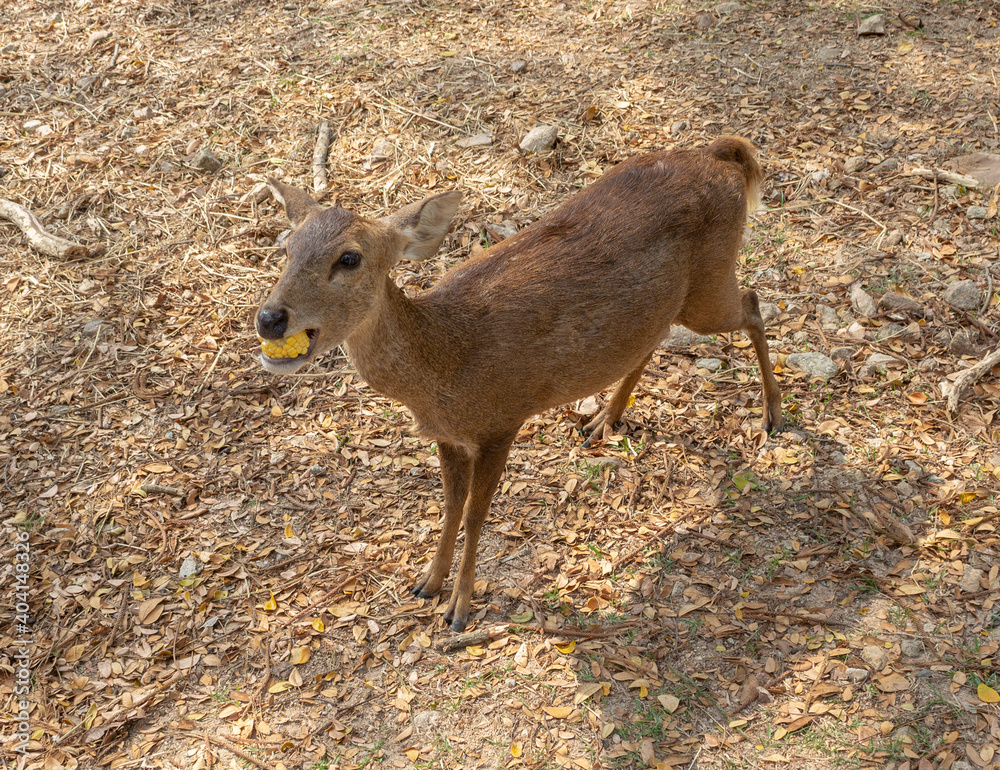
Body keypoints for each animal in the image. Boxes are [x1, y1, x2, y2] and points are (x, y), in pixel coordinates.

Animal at [255, 136, 783, 632]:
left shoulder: (502, 421)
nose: (270, 319)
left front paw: (460, 610)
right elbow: (450, 506)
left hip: (711, 285)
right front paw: (427, 583)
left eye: (349, 258)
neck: (447, 367)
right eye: (286, 249)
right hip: (669, 303)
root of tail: (720, 156)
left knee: (753, 302)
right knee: (657, 336)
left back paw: (772, 416)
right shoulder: (448, 436)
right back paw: (603, 421)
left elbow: (475, 514)